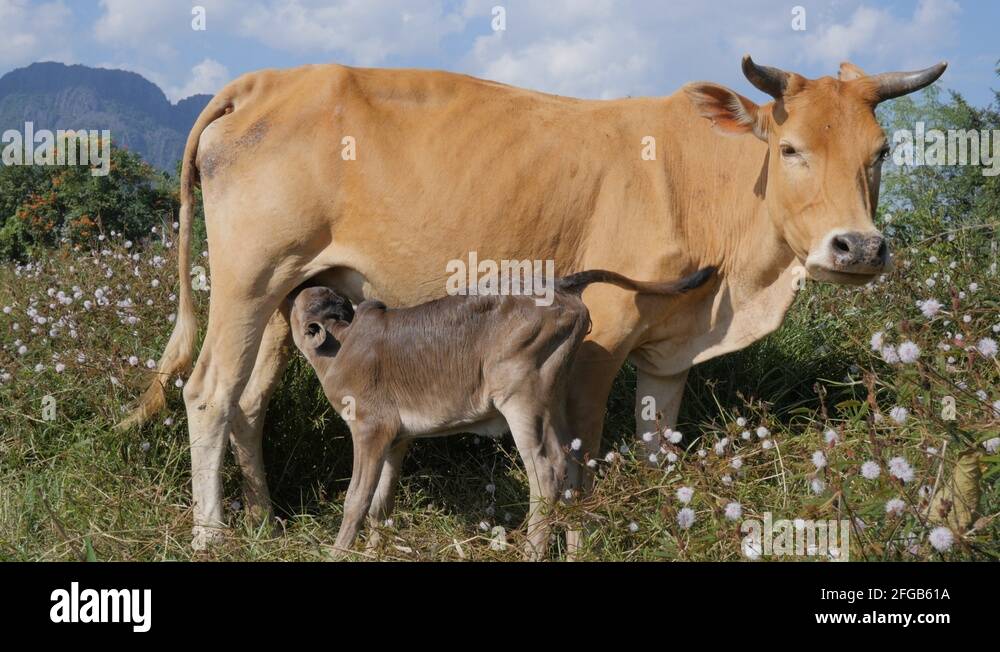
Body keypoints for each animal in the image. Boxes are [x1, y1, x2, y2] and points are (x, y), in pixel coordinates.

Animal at [287, 268, 713, 556]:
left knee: (547, 472)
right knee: (575, 468)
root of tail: (560, 285)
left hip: (522, 396)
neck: (341, 344)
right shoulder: (397, 437)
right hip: (555, 399)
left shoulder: (370, 429)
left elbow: (356, 500)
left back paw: (531, 552)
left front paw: (338, 553)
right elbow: (381, 502)